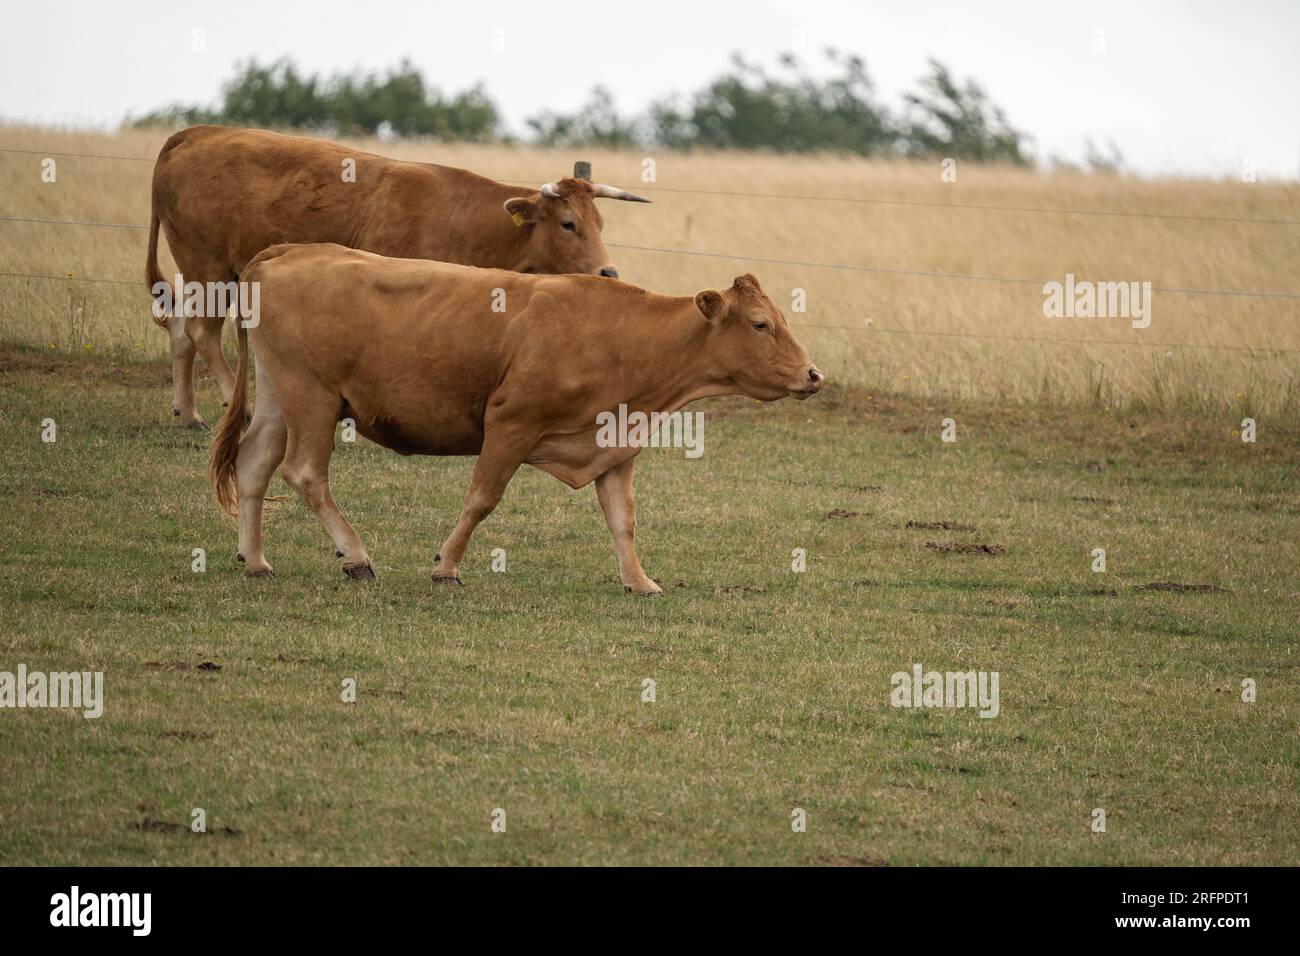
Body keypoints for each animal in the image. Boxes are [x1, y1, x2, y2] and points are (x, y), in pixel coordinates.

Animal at [146, 125, 650, 428]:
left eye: (600, 222)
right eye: (568, 223)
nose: (609, 271)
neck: (461, 216)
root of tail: (194, 133)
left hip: (209, 273)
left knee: (181, 330)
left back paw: (186, 411)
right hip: (209, 267)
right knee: (202, 333)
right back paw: (238, 405)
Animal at [207, 244, 824, 594]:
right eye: (761, 324)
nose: (813, 374)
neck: (621, 335)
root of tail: (285, 253)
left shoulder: (613, 444)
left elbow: (622, 519)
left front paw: (639, 580)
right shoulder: (510, 425)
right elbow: (481, 498)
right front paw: (447, 566)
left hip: (280, 397)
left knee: (255, 464)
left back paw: (256, 560)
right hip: (312, 396)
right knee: (305, 473)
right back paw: (355, 556)